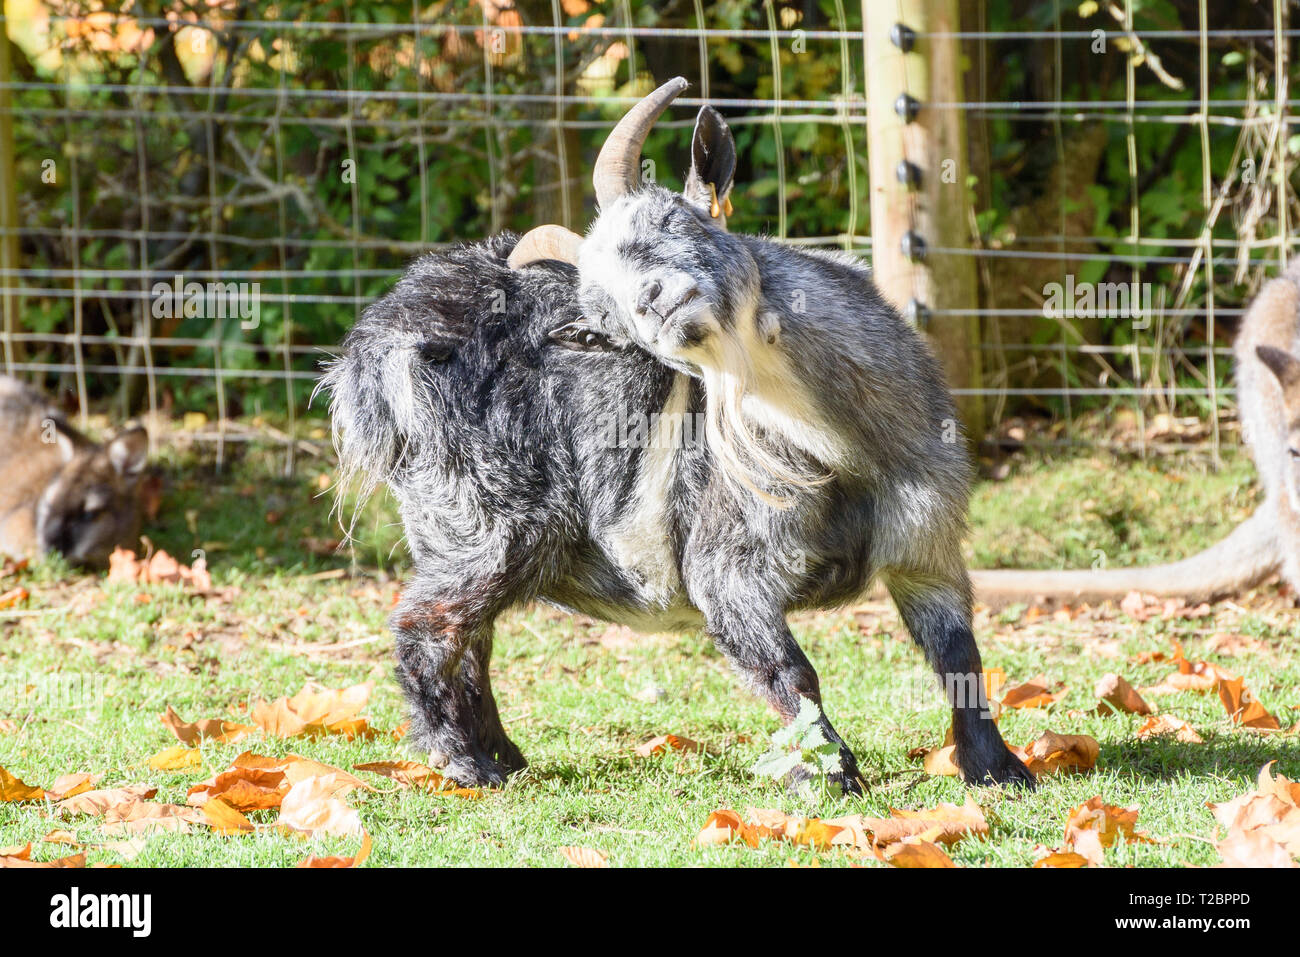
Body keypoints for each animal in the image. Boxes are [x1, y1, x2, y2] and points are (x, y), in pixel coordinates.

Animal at [328, 79, 1031, 790]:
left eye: (671, 219)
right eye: (599, 323)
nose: (651, 301)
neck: (847, 456)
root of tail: (382, 345)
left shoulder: (925, 548)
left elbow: (960, 657)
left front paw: (1000, 770)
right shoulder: (727, 569)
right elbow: (789, 673)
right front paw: (829, 776)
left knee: (473, 636)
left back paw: (503, 754)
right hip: (485, 526)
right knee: (428, 626)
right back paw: (466, 762)